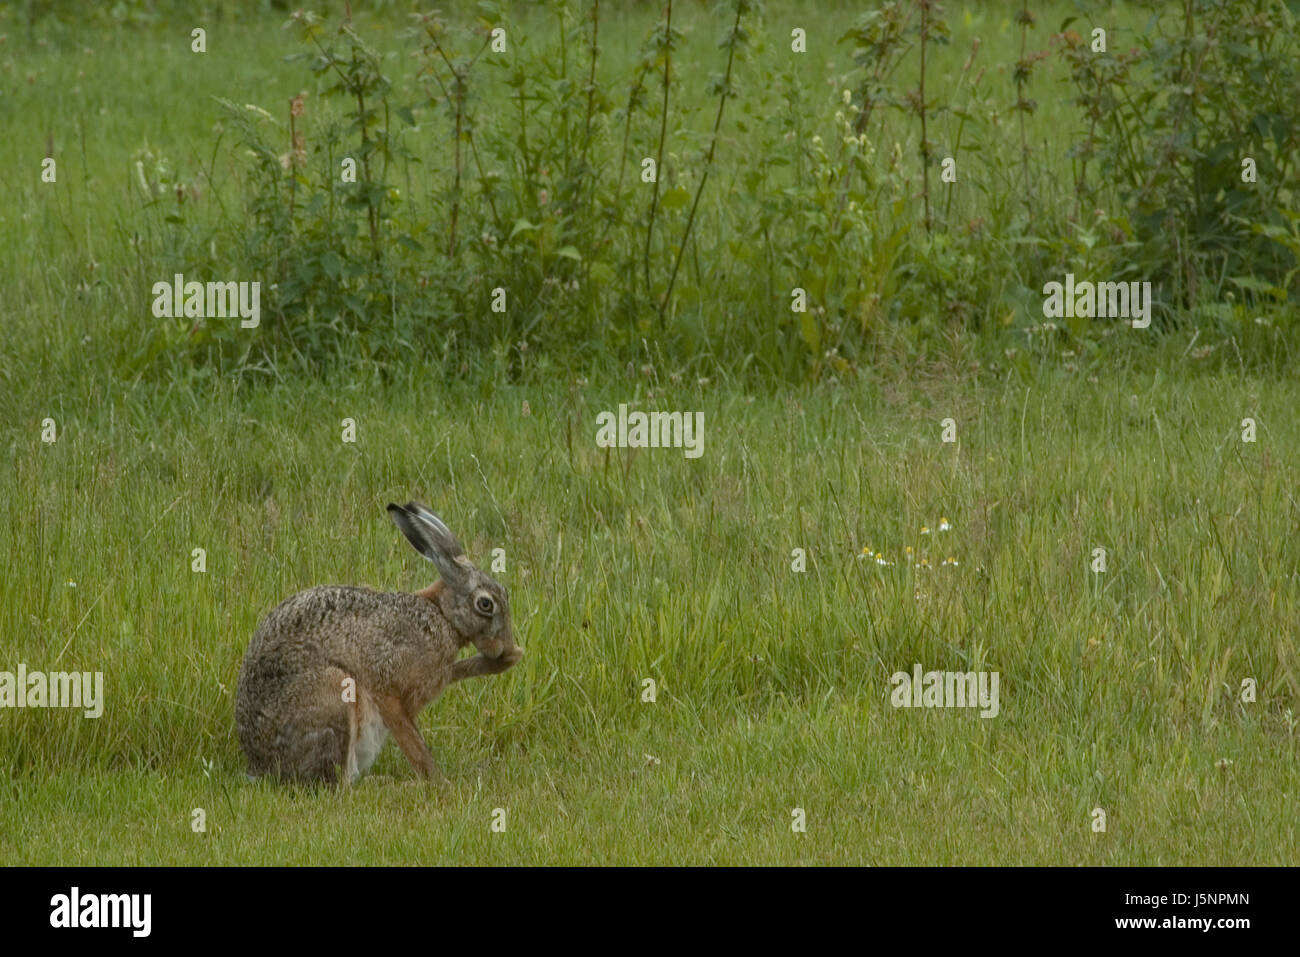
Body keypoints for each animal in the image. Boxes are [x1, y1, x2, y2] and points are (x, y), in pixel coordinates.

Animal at [235, 502, 523, 785]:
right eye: (485, 604)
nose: (503, 647)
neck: (441, 614)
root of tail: (258, 765)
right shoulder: (389, 692)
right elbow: (412, 741)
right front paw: (438, 782)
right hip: (332, 693)